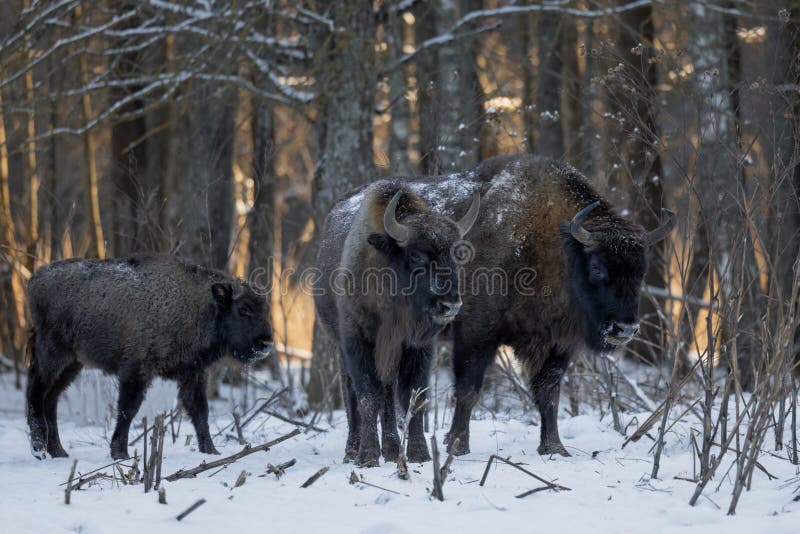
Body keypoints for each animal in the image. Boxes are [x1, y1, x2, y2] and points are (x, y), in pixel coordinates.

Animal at [26, 254, 273, 460]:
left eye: (265, 310)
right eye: (243, 309)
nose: (267, 344)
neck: (199, 306)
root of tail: (35, 278)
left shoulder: (193, 374)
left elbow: (200, 412)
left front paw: (211, 451)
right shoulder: (137, 370)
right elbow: (128, 409)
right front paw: (120, 453)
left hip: (72, 364)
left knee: (51, 399)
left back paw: (58, 452)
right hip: (53, 355)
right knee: (35, 393)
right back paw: (39, 451)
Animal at [315, 181, 480, 466]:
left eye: (456, 255)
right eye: (416, 256)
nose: (450, 305)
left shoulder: (416, 347)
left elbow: (414, 394)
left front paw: (419, 453)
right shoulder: (358, 344)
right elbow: (368, 396)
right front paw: (368, 456)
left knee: (388, 395)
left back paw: (391, 450)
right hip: (341, 349)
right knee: (352, 394)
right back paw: (352, 451)